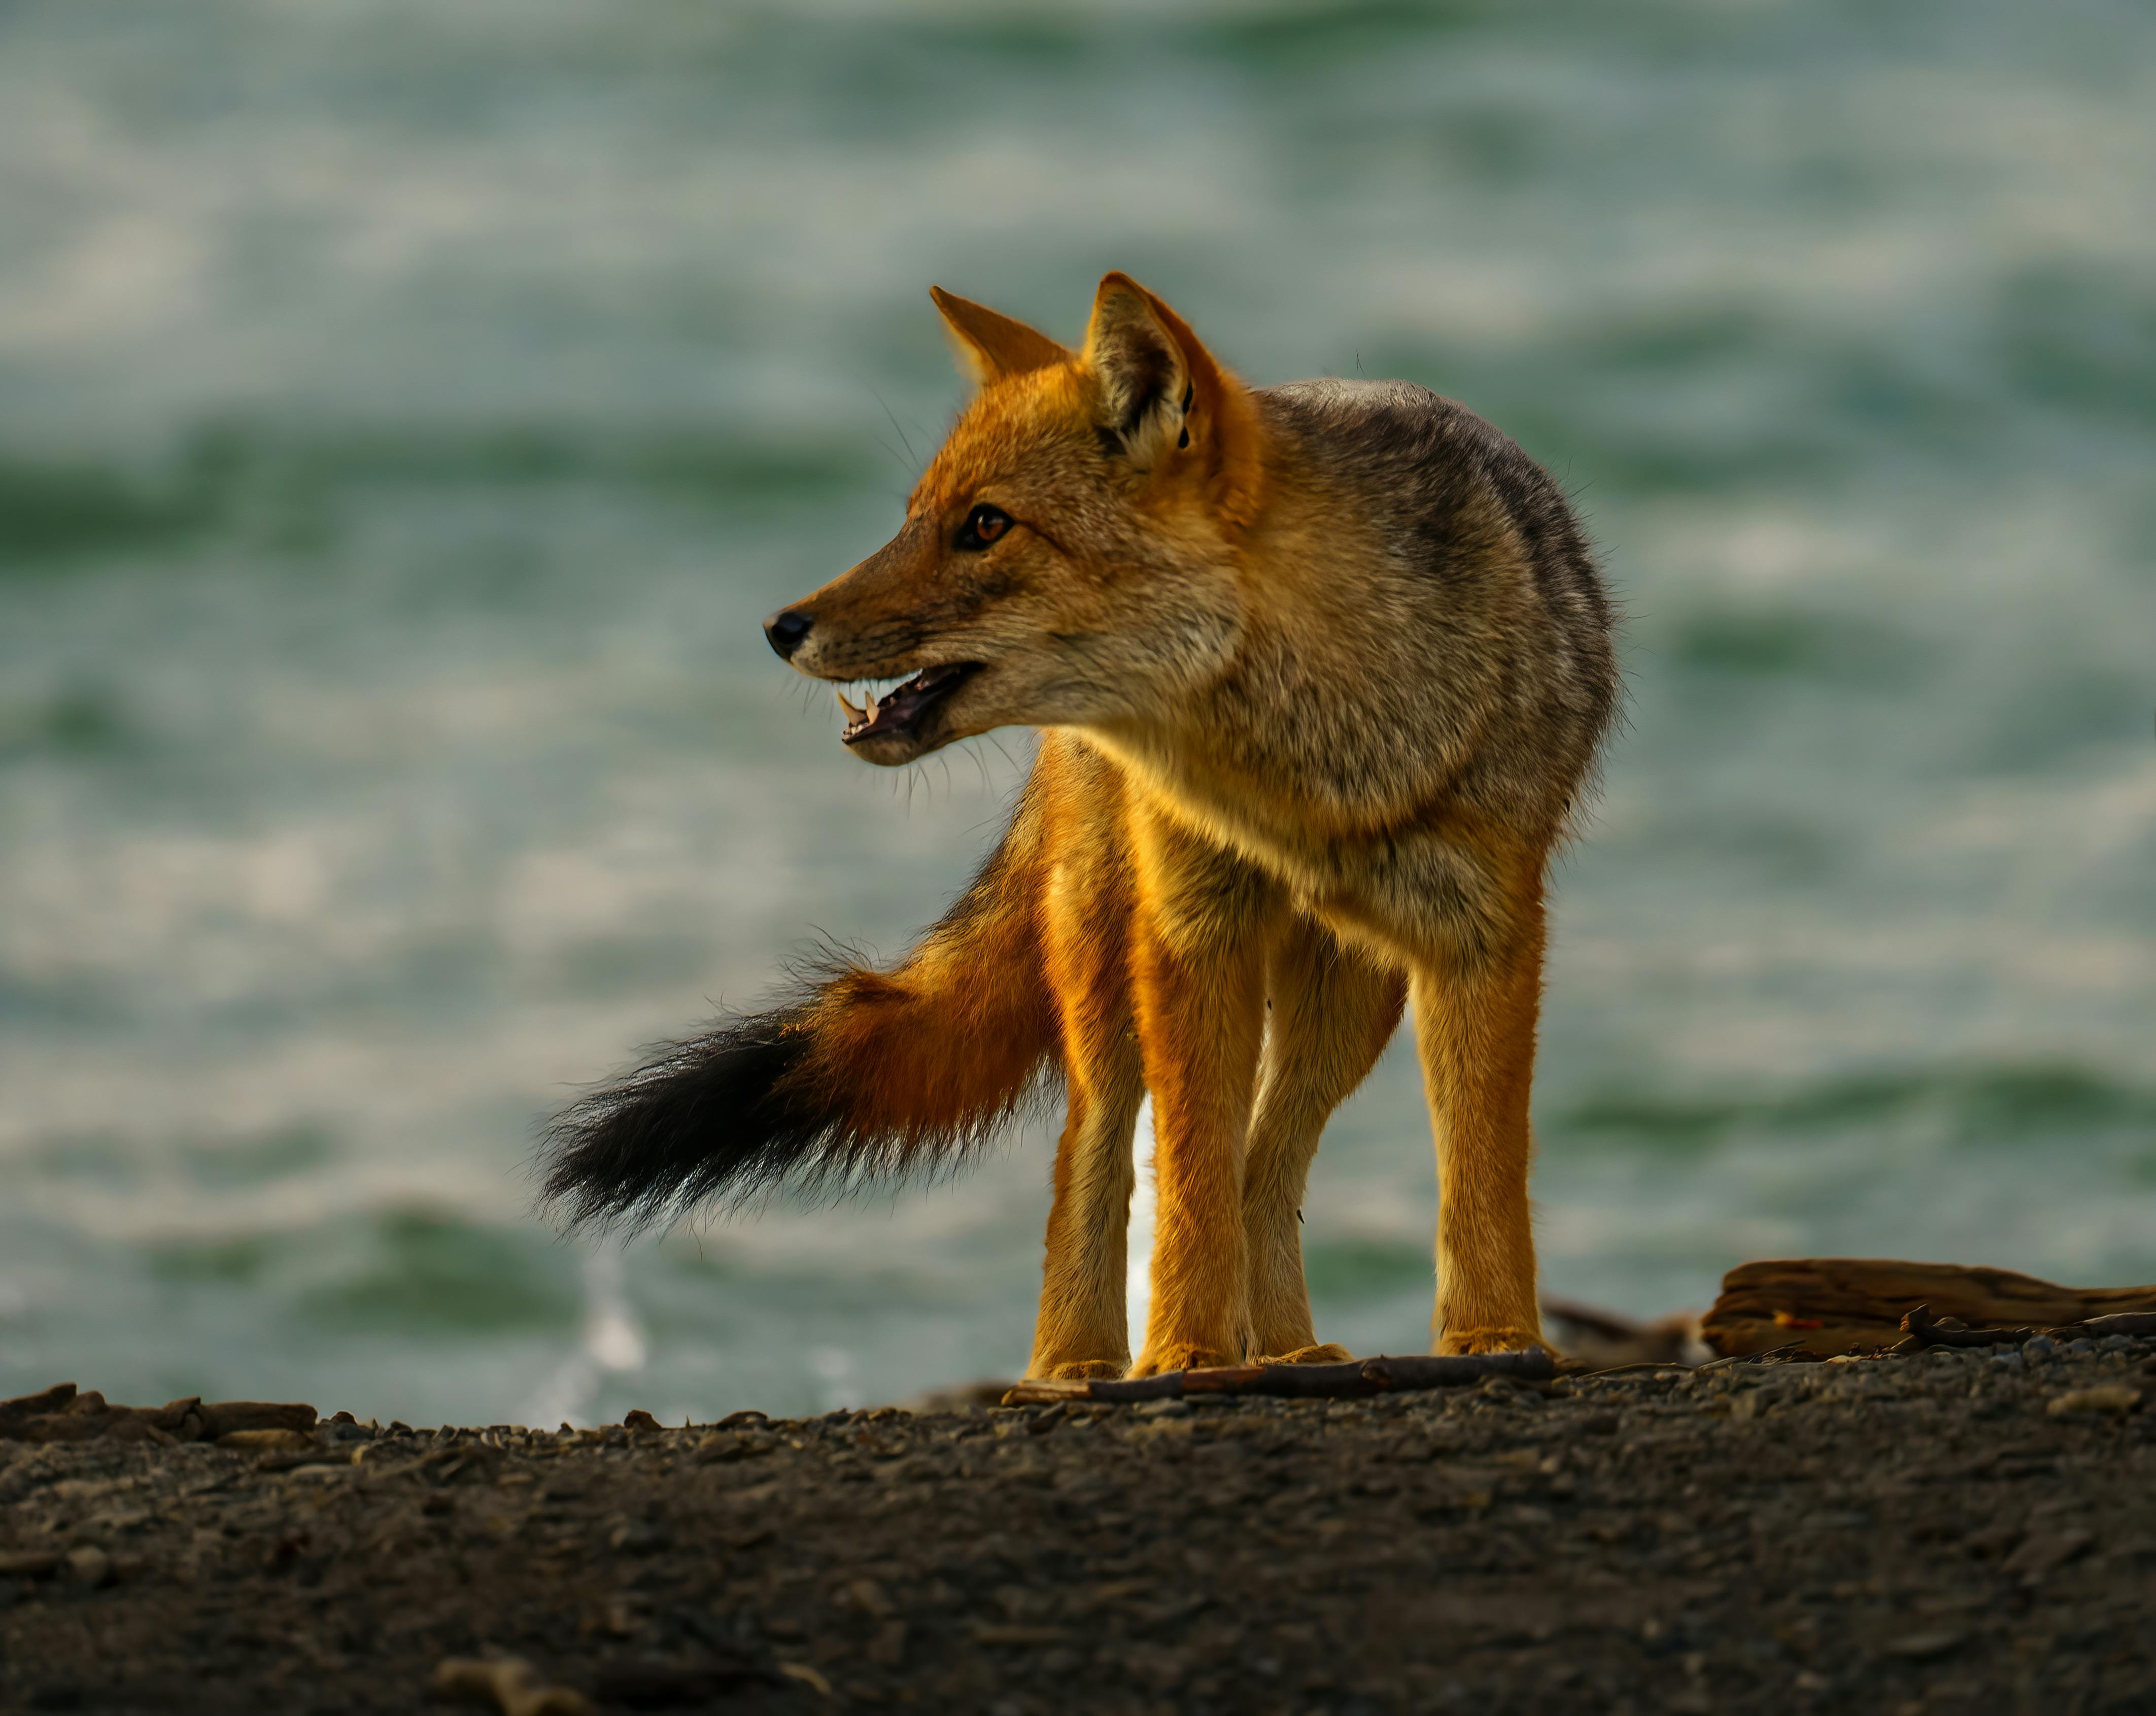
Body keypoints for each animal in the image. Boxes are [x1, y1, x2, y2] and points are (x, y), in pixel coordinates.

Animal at [542, 273, 1618, 1379]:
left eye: (984, 526)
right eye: (916, 520)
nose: (779, 627)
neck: (1310, 780)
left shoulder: (1483, 937)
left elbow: (1479, 1173)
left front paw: (1494, 1336)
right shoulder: (1192, 932)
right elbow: (1186, 1180)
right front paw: (1185, 1349)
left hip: (1346, 1003)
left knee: (1271, 1161)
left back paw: (1286, 1349)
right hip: (1112, 963)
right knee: (1097, 1150)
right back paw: (1074, 1361)